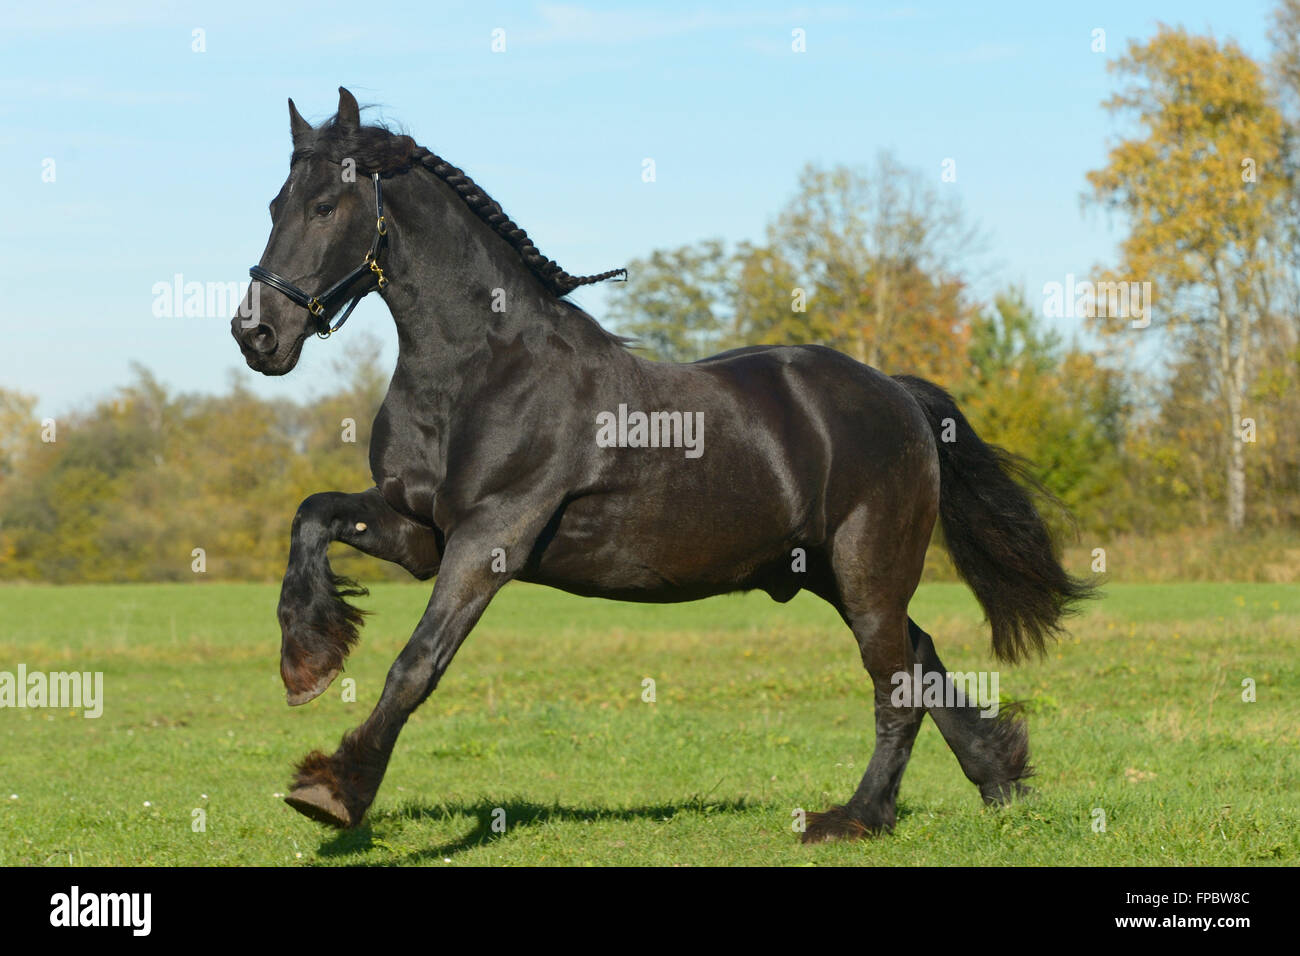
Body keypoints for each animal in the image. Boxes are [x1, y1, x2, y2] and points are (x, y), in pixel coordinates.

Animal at [231, 88, 1094, 843]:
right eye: (275, 205)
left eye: (325, 207)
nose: (257, 335)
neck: (479, 369)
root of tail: (900, 398)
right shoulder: (420, 532)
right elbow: (313, 515)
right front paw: (305, 662)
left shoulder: (490, 537)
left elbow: (416, 664)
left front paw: (332, 790)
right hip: (828, 572)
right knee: (920, 661)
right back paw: (997, 778)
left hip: (867, 569)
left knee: (896, 687)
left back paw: (851, 819)